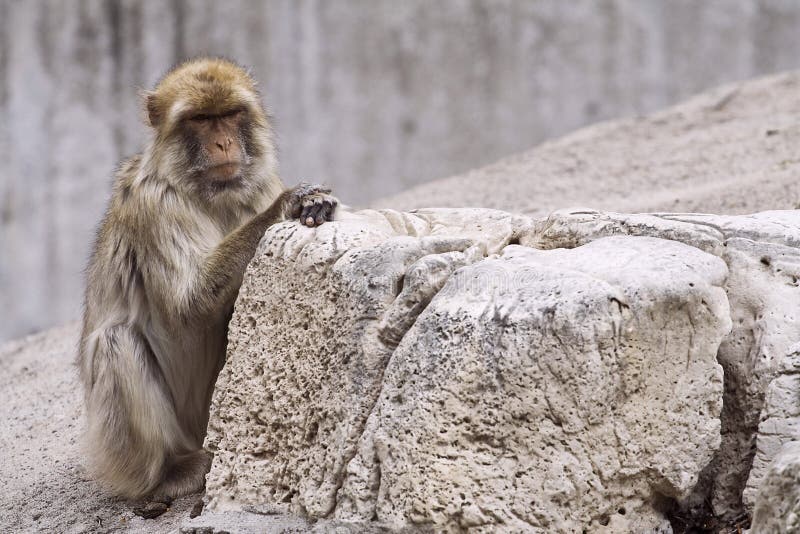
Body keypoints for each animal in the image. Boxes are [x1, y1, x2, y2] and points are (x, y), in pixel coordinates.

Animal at [77, 58, 337, 501]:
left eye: (230, 115)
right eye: (200, 119)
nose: (223, 144)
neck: (211, 193)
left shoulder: (258, 182)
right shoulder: (154, 202)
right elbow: (188, 305)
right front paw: (288, 203)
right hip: (131, 447)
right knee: (115, 340)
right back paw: (168, 472)